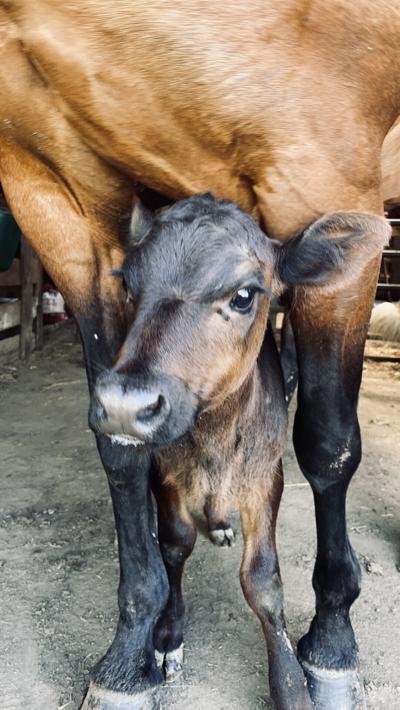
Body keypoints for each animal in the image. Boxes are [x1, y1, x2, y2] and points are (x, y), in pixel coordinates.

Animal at [0, 1, 397, 708]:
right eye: (129, 284)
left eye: (244, 293)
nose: (130, 400)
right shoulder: (41, 182)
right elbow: (127, 462)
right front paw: (132, 654)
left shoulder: (329, 171)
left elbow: (326, 444)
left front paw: (327, 643)